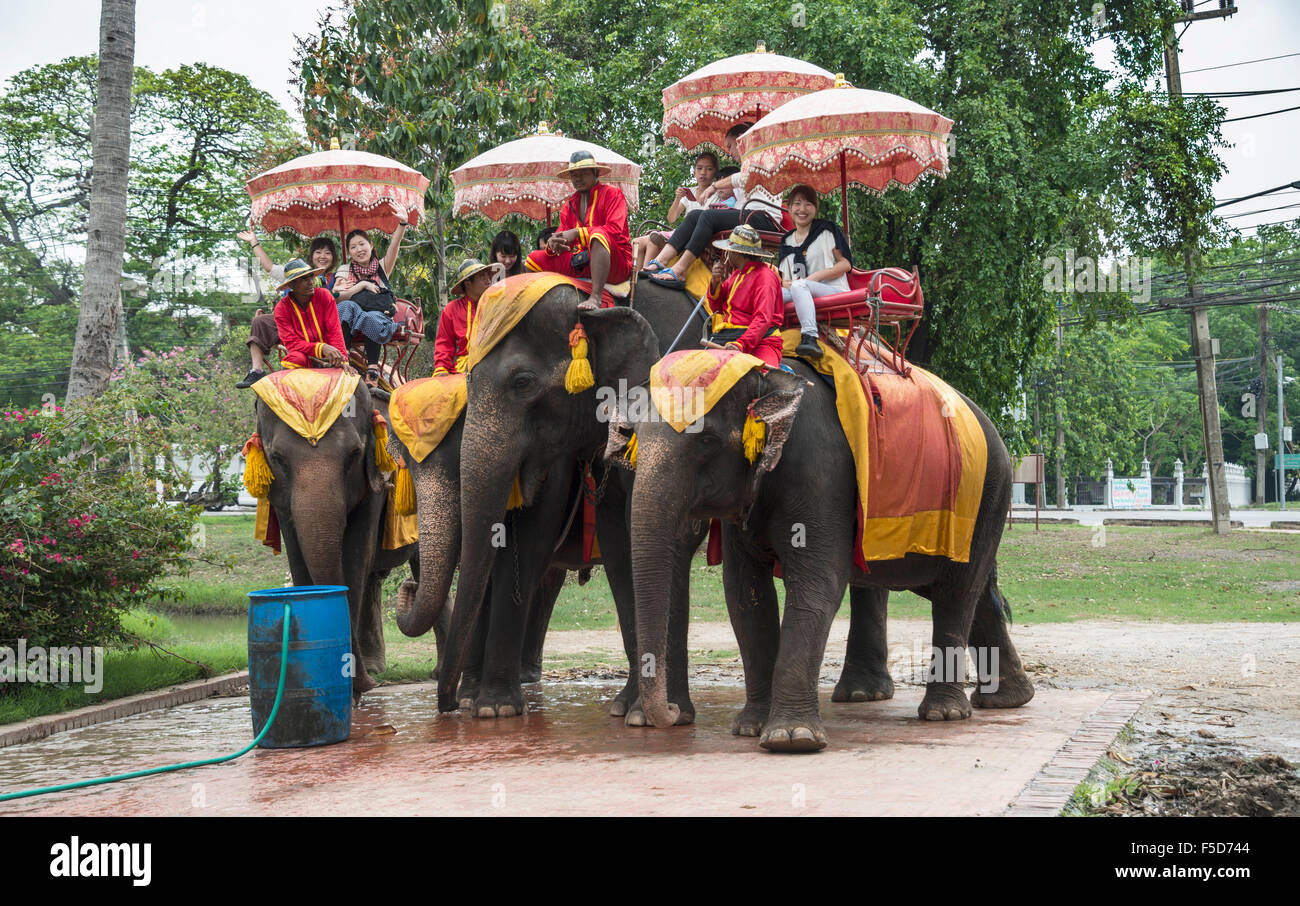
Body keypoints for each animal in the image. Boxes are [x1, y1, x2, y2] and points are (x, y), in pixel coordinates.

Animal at [254, 373, 418, 695]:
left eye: (354, 455)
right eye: (278, 458)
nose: (365, 685)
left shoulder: (375, 483)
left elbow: (355, 555)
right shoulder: (281, 499)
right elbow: (298, 556)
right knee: (374, 579)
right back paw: (375, 666)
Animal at [615, 350, 1035, 750]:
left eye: (706, 441)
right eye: (634, 439)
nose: (670, 713)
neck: (765, 376)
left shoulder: (821, 474)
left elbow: (817, 584)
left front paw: (791, 738)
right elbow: (744, 593)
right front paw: (751, 728)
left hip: (984, 497)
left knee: (956, 590)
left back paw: (944, 713)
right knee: (967, 591)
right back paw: (1004, 699)